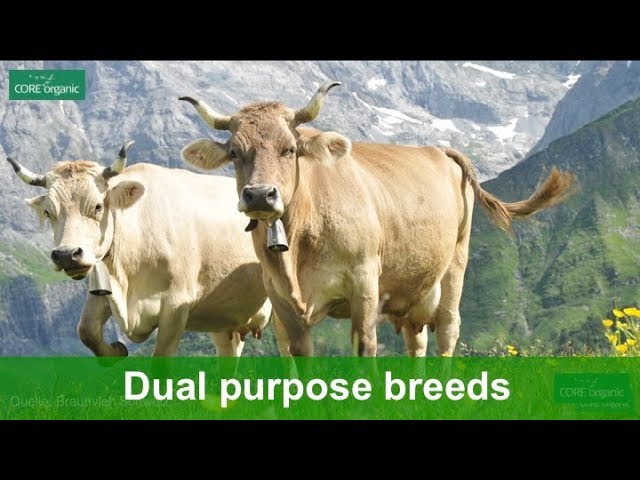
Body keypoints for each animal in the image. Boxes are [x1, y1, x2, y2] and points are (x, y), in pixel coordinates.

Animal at [6, 142, 274, 356]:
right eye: (49, 212)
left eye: (98, 206)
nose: (65, 255)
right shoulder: (103, 288)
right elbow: (86, 330)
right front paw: (116, 350)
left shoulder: (176, 306)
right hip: (224, 320)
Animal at [179, 82, 576, 357]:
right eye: (235, 152)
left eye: (289, 149)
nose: (260, 195)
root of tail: (436, 150)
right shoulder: (280, 298)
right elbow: (299, 353)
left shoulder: (365, 280)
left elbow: (365, 345)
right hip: (415, 286)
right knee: (416, 338)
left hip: (456, 265)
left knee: (448, 331)